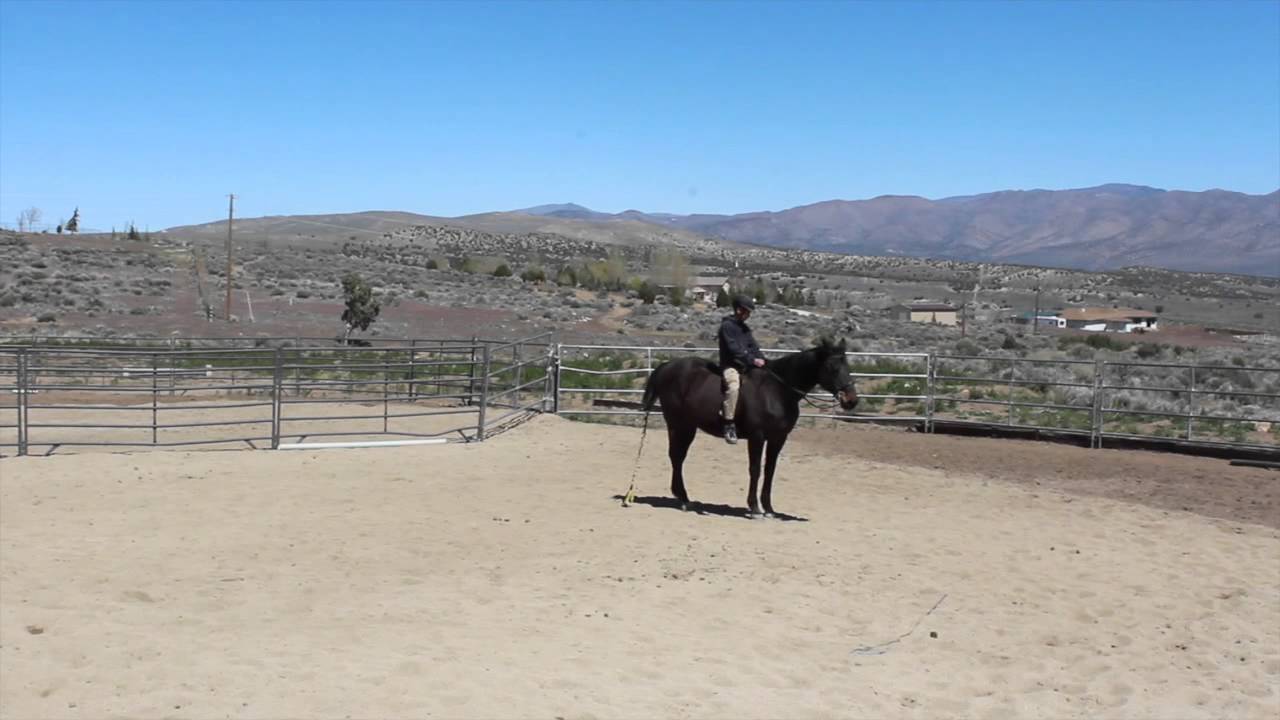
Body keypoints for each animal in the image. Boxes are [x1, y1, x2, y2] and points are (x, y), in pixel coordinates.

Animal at [633, 337, 858, 518]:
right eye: (832, 367)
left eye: (847, 366)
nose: (851, 400)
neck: (777, 390)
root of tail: (666, 367)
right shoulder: (757, 436)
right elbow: (755, 469)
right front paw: (755, 508)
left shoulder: (778, 438)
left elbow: (770, 470)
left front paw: (769, 509)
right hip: (679, 425)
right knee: (676, 456)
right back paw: (683, 500)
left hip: (687, 427)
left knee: (678, 457)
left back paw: (684, 498)